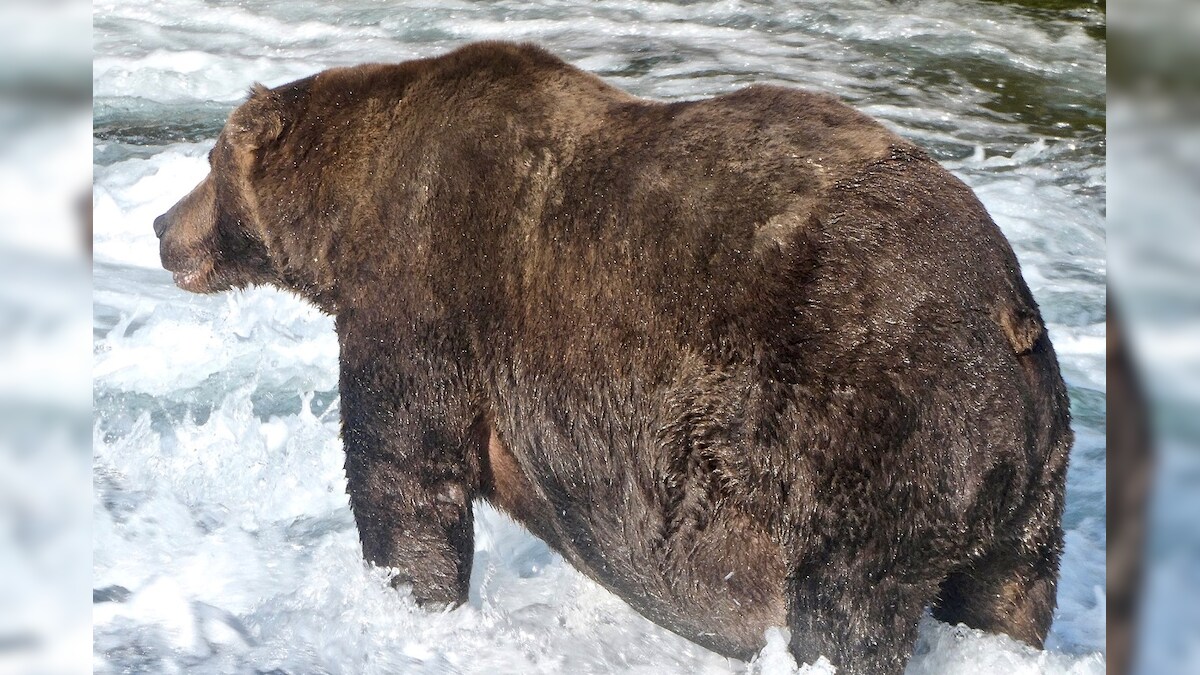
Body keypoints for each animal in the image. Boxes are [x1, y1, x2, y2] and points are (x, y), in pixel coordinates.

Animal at [153, 41, 1072, 674]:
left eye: (207, 163)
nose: (162, 227)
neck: (343, 218)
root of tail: (1010, 314)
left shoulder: (424, 285)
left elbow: (404, 472)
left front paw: (408, 599)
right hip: (1024, 491)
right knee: (1006, 597)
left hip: (869, 431)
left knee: (846, 609)